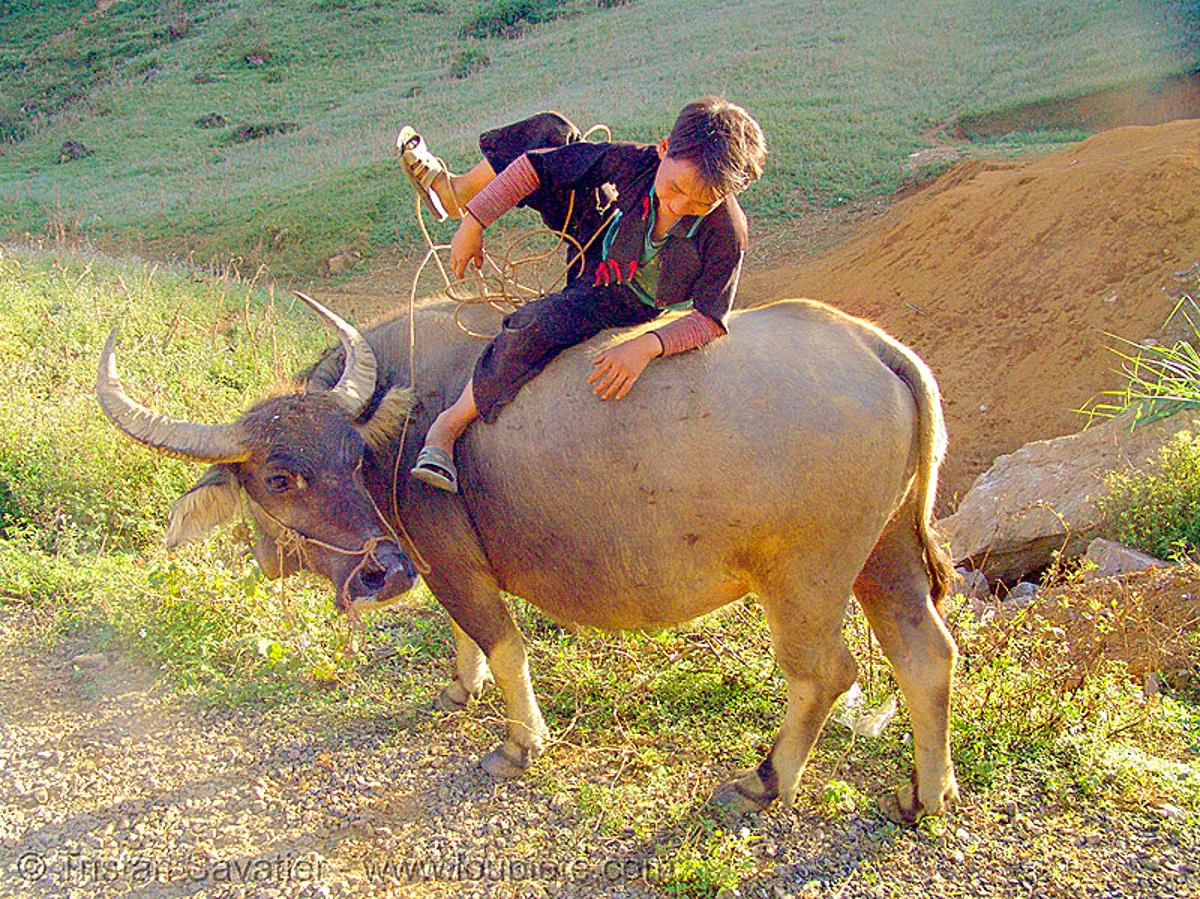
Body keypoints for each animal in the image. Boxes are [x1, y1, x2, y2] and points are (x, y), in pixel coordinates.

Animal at [98, 292, 959, 822]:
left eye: (349, 456)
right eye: (280, 475)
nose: (381, 572)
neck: (405, 430)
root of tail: (873, 345)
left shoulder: (453, 565)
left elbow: (502, 642)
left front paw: (518, 743)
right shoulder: (430, 562)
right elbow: (465, 640)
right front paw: (459, 688)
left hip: (804, 579)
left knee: (826, 672)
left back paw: (763, 780)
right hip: (885, 555)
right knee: (927, 654)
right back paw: (926, 792)